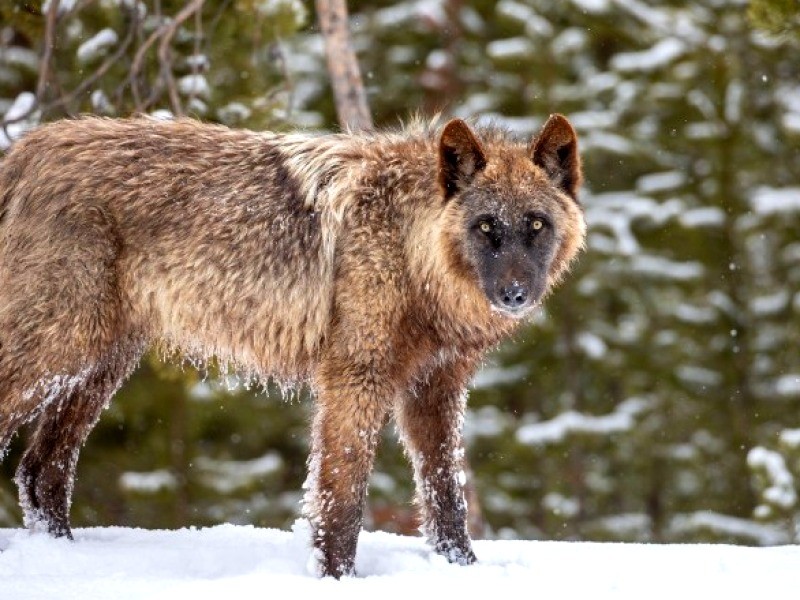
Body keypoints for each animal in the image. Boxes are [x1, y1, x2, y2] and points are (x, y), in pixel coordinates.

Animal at [0, 114, 585, 577]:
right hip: (57, 353)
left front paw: (461, 572)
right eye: (486, 226)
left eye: (536, 225)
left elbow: (446, 496)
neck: (407, 247)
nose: (514, 294)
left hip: (98, 365)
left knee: (40, 472)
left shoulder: (435, 390)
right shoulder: (354, 380)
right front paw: (336, 579)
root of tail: (24, 150)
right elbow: (341, 498)